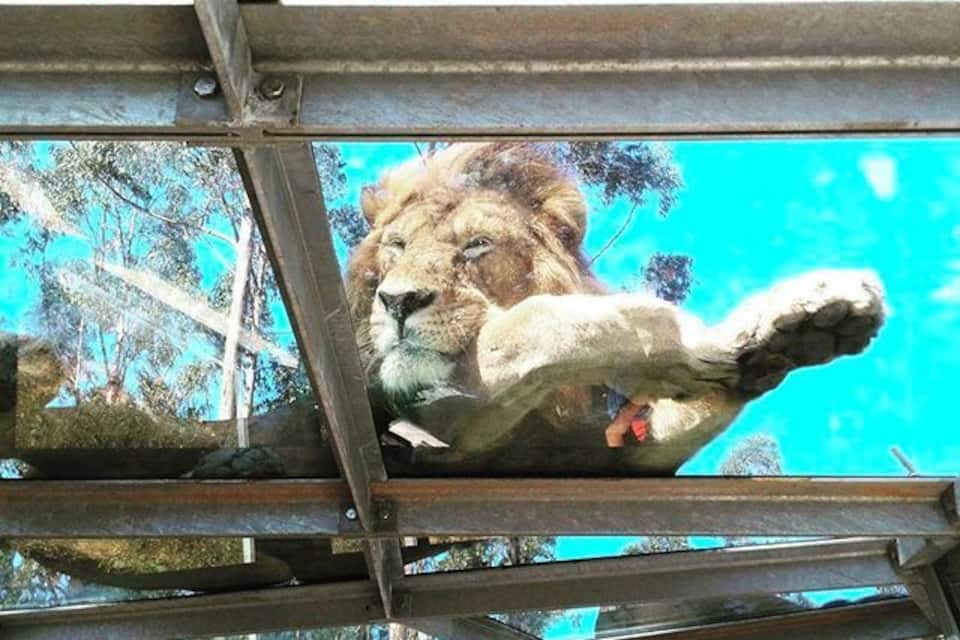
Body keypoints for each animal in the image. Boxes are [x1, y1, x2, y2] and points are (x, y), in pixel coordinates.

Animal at [347, 142, 885, 475]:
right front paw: (690, 342)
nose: (397, 301)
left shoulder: (597, 452)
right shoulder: (441, 424)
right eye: (397, 245)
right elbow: (541, 319)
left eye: (477, 246)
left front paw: (797, 322)